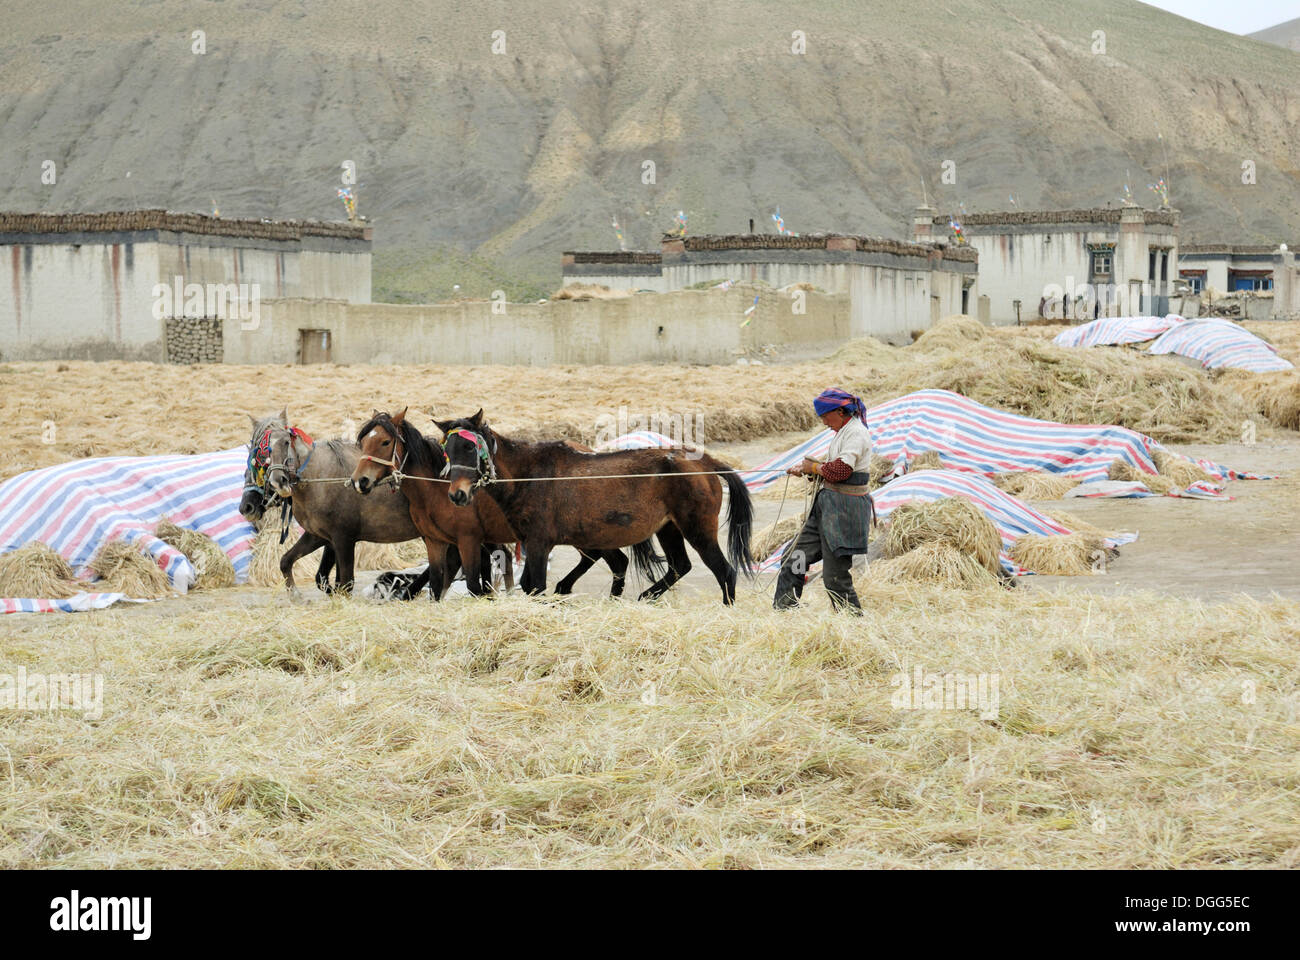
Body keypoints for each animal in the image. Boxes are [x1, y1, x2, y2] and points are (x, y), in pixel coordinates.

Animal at [349, 410, 660, 597]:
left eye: (385, 442)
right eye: (364, 441)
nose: (359, 480)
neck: (436, 488)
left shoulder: (469, 540)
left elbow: (474, 584)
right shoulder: (435, 541)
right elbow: (437, 585)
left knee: (614, 560)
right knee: (607, 559)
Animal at [433, 409, 755, 604]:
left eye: (470, 447)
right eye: (447, 450)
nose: (457, 495)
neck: (529, 474)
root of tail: (704, 462)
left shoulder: (539, 543)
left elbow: (536, 586)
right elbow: (530, 585)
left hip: (697, 528)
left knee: (725, 572)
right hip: (669, 528)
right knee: (680, 565)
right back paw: (645, 597)